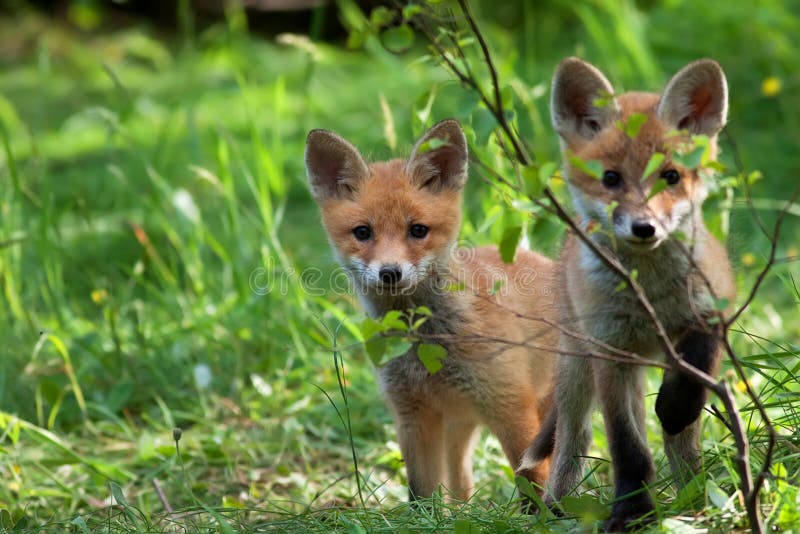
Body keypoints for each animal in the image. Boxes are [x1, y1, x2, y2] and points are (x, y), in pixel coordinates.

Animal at [305, 119, 558, 502]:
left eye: (418, 230)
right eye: (363, 232)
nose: (390, 272)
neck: (425, 347)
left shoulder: (510, 405)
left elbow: (533, 482)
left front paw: (546, 514)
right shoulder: (412, 416)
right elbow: (421, 494)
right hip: (459, 425)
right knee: (461, 483)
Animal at [519, 58, 736, 531]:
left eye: (671, 176)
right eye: (611, 179)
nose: (644, 228)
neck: (648, 294)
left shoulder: (711, 309)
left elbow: (692, 378)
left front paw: (674, 406)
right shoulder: (610, 349)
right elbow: (627, 445)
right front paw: (632, 512)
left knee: (681, 445)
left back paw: (695, 499)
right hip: (577, 369)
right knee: (573, 438)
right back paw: (555, 507)